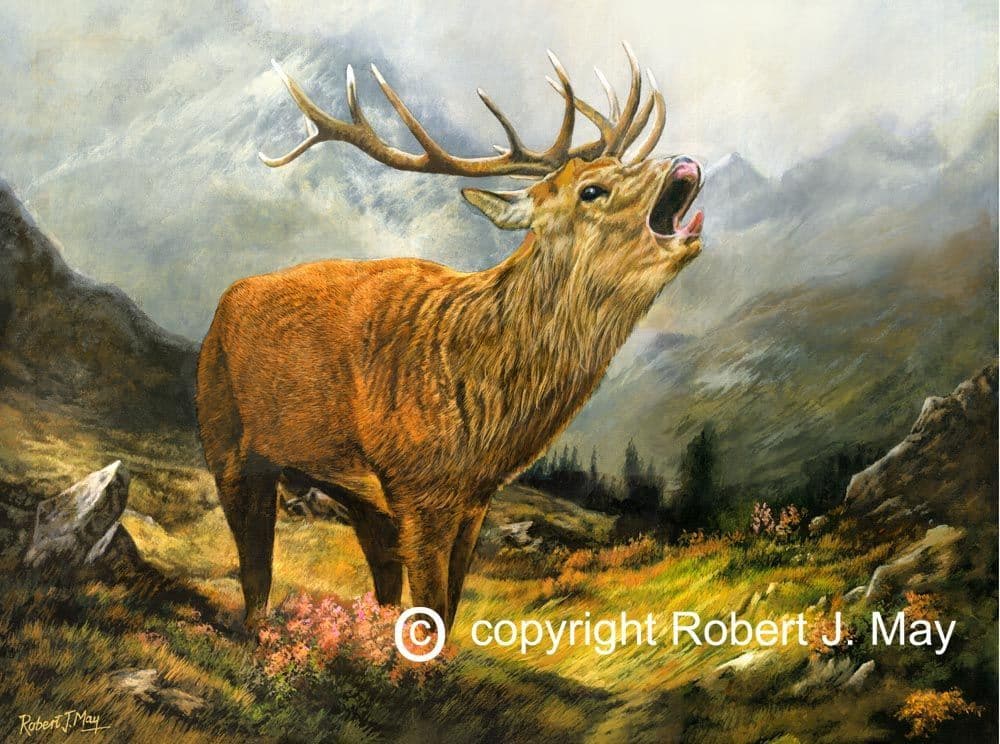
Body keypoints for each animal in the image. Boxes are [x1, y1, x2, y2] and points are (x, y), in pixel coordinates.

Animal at [196, 43, 704, 636]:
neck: (483, 419)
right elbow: (431, 613)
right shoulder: (419, 488)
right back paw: (258, 630)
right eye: (592, 190)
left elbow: (448, 609)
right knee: (255, 561)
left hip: (355, 489)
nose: (683, 162)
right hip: (225, 434)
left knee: (379, 578)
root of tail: (223, 302)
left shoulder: (472, 500)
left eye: (618, 168)